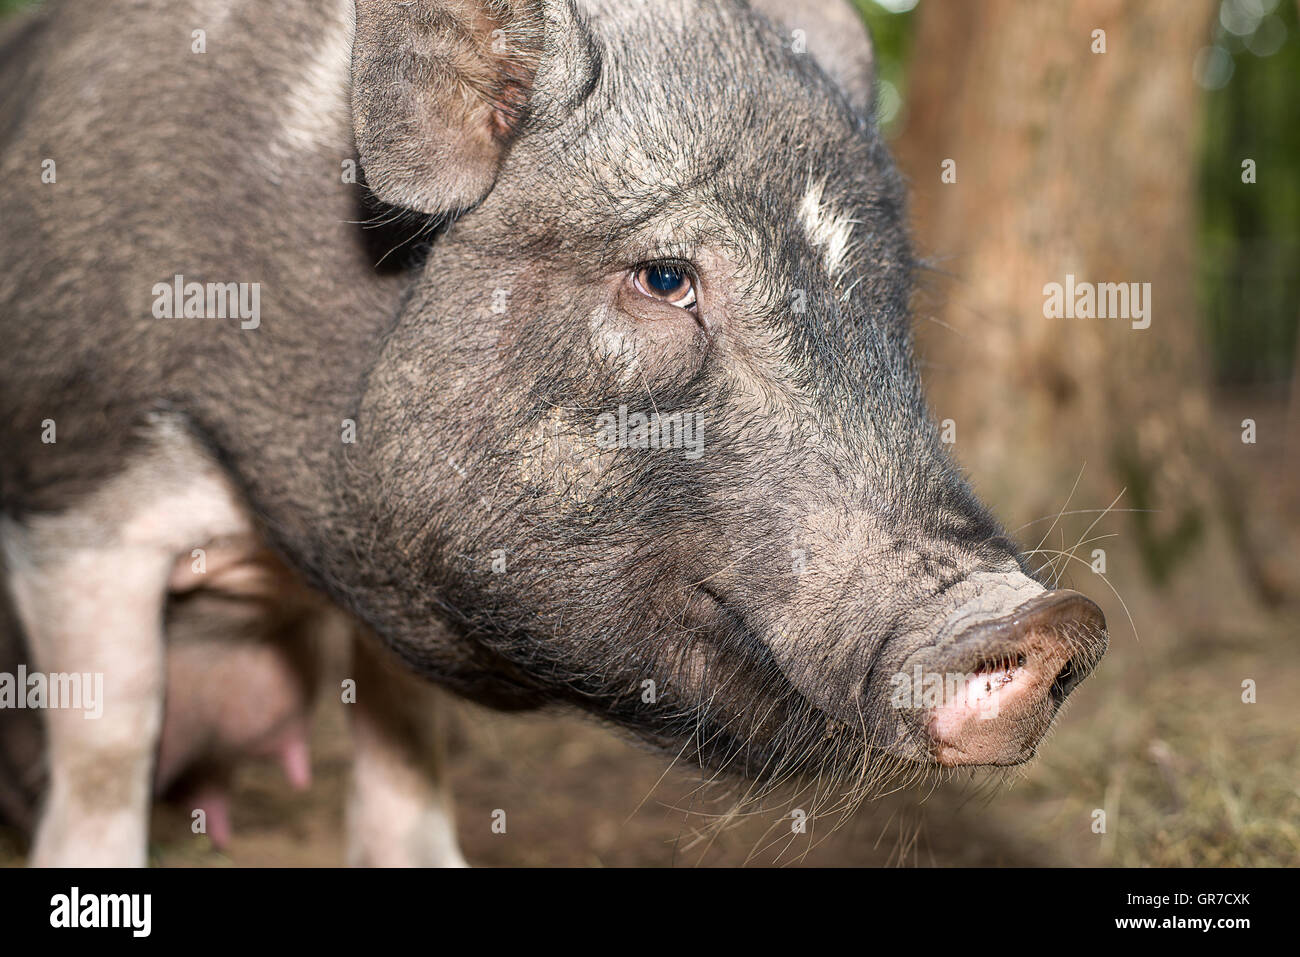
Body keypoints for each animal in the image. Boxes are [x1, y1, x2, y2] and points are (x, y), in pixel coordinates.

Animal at [0, 0, 1107, 867]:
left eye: (890, 298)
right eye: (664, 276)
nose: (1052, 619)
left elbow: (406, 741)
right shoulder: (74, 483)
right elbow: (111, 735)